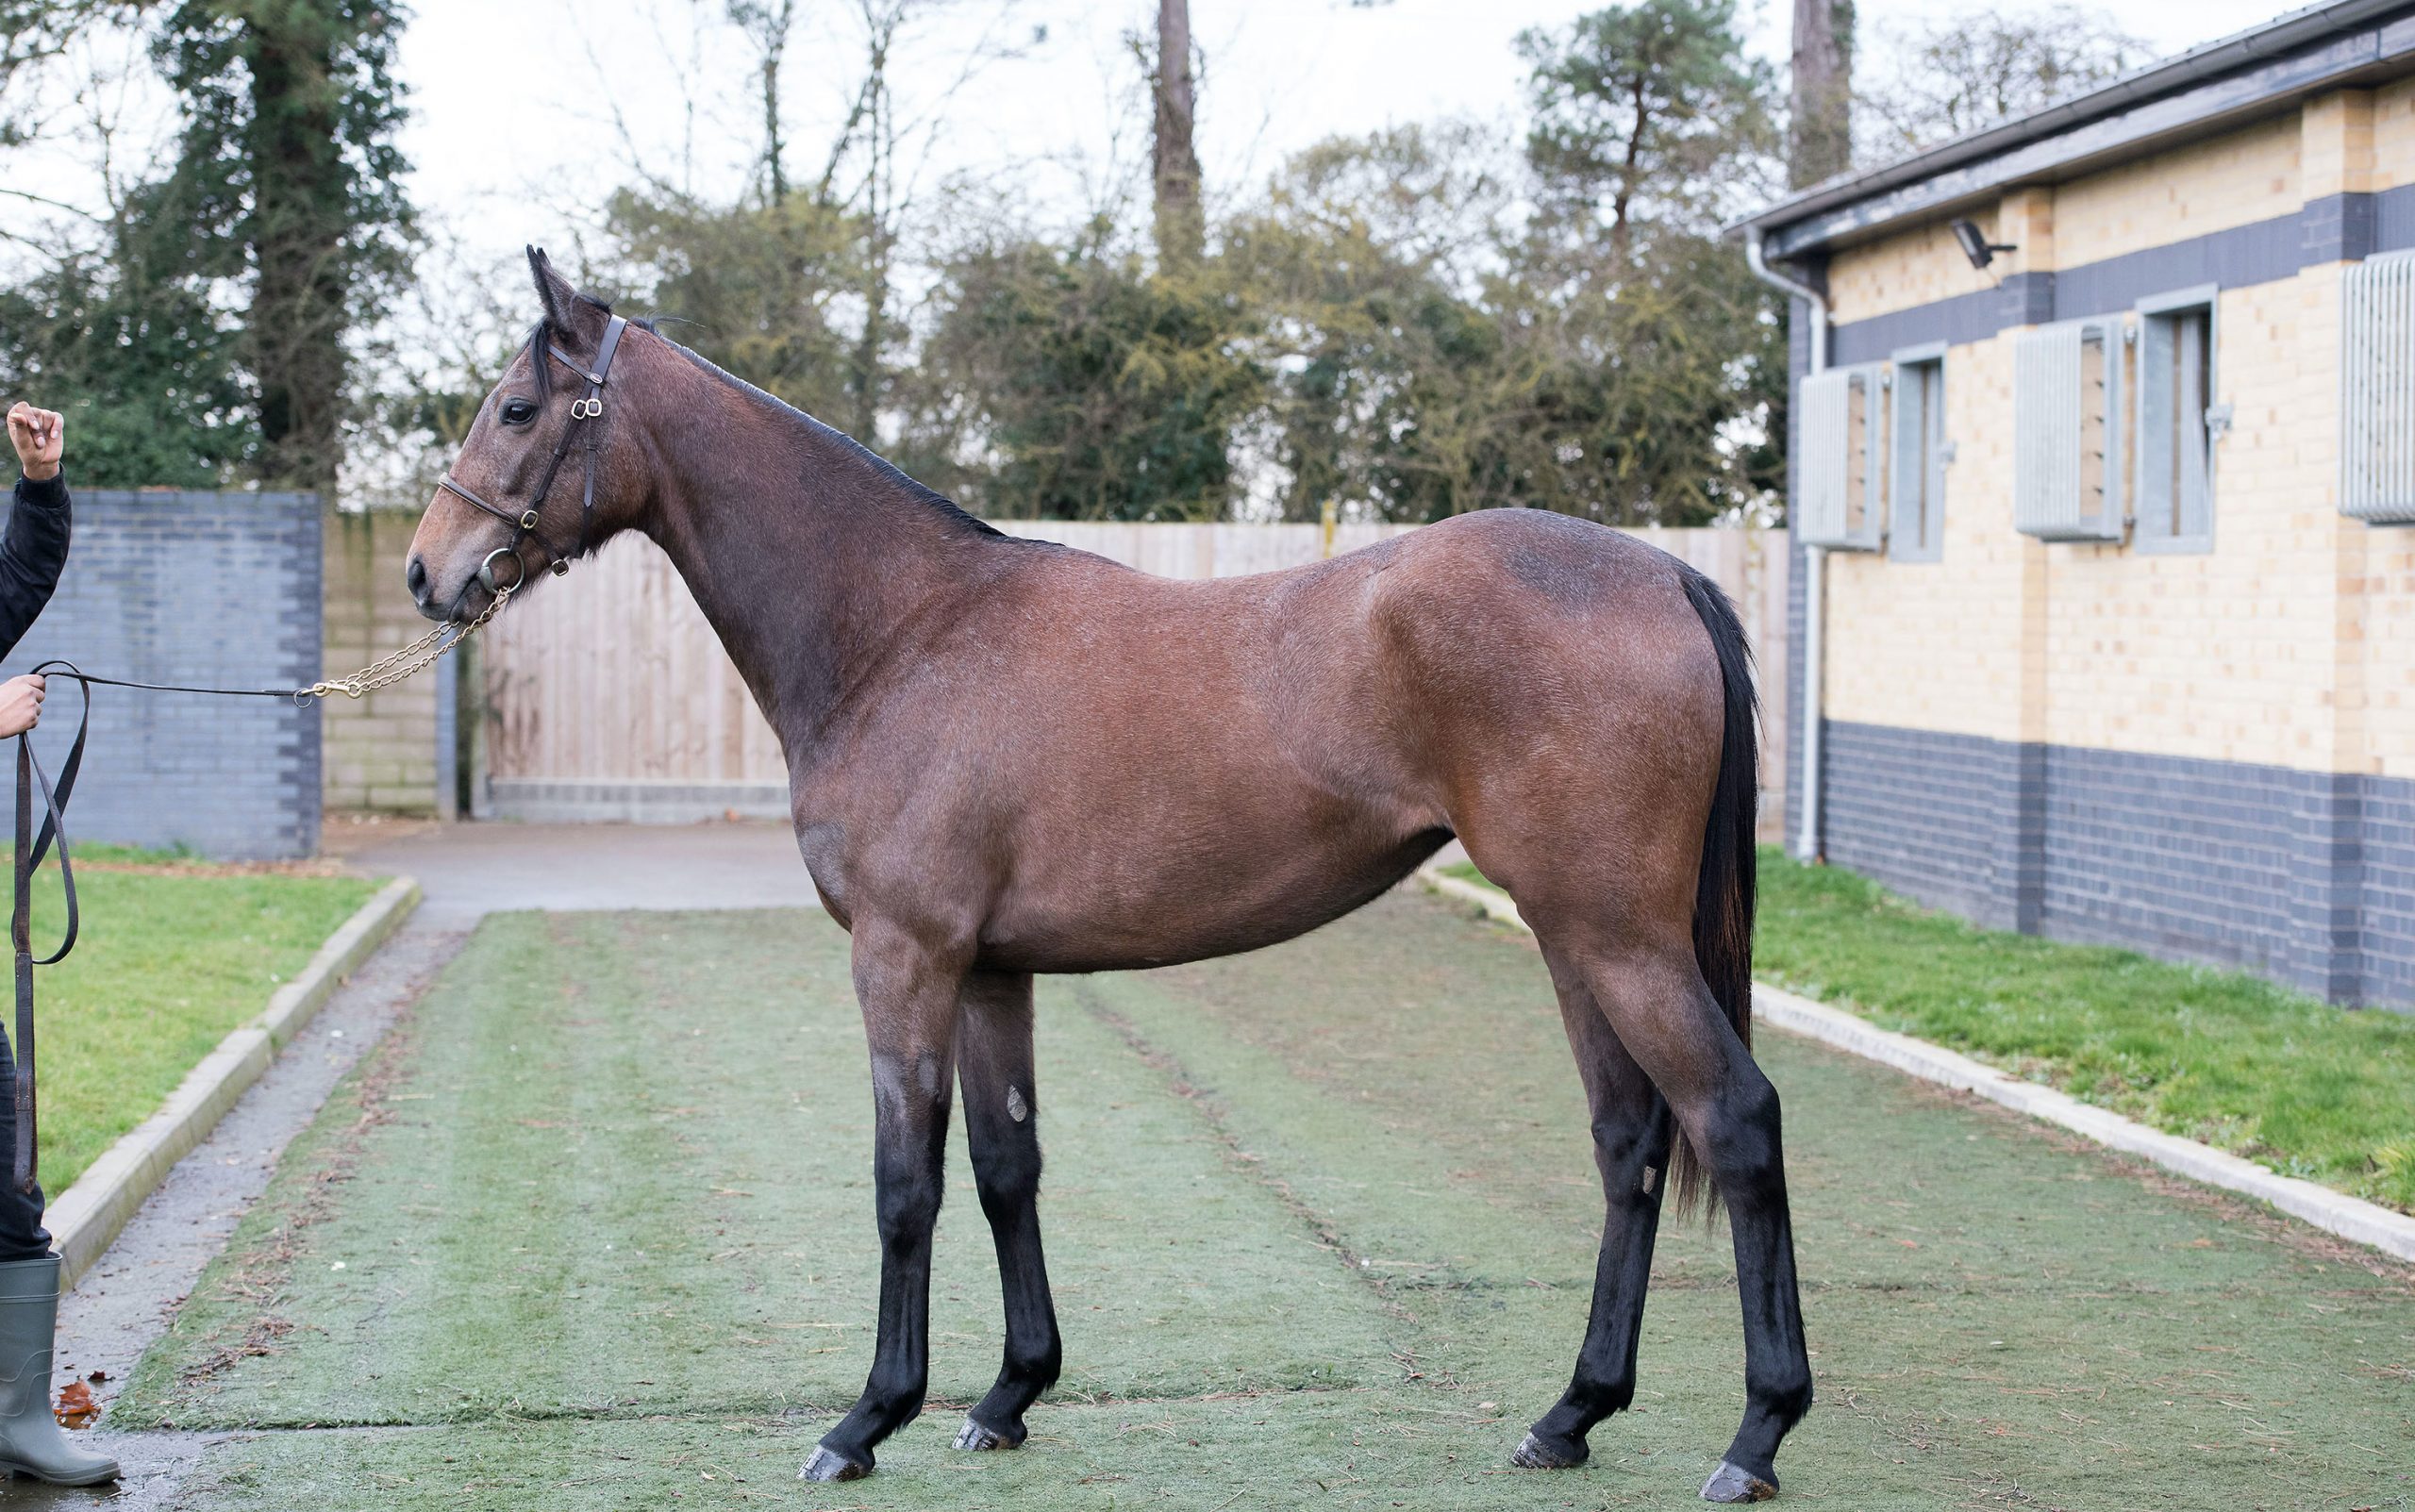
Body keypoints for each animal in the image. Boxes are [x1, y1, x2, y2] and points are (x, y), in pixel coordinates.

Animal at [405, 249, 1811, 1504]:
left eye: (517, 407)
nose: (430, 569)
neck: (902, 629)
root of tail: (1666, 573)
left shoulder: (902, 958)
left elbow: (905, 1183)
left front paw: (867, 1417)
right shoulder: (989, 971)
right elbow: (1005, 1167)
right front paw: (1008, 1393)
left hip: (1618, 938)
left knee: (1736, 1119)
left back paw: (1755, 1433)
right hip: (1575, 937)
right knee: (1630, 1141)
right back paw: (1571, 1413)